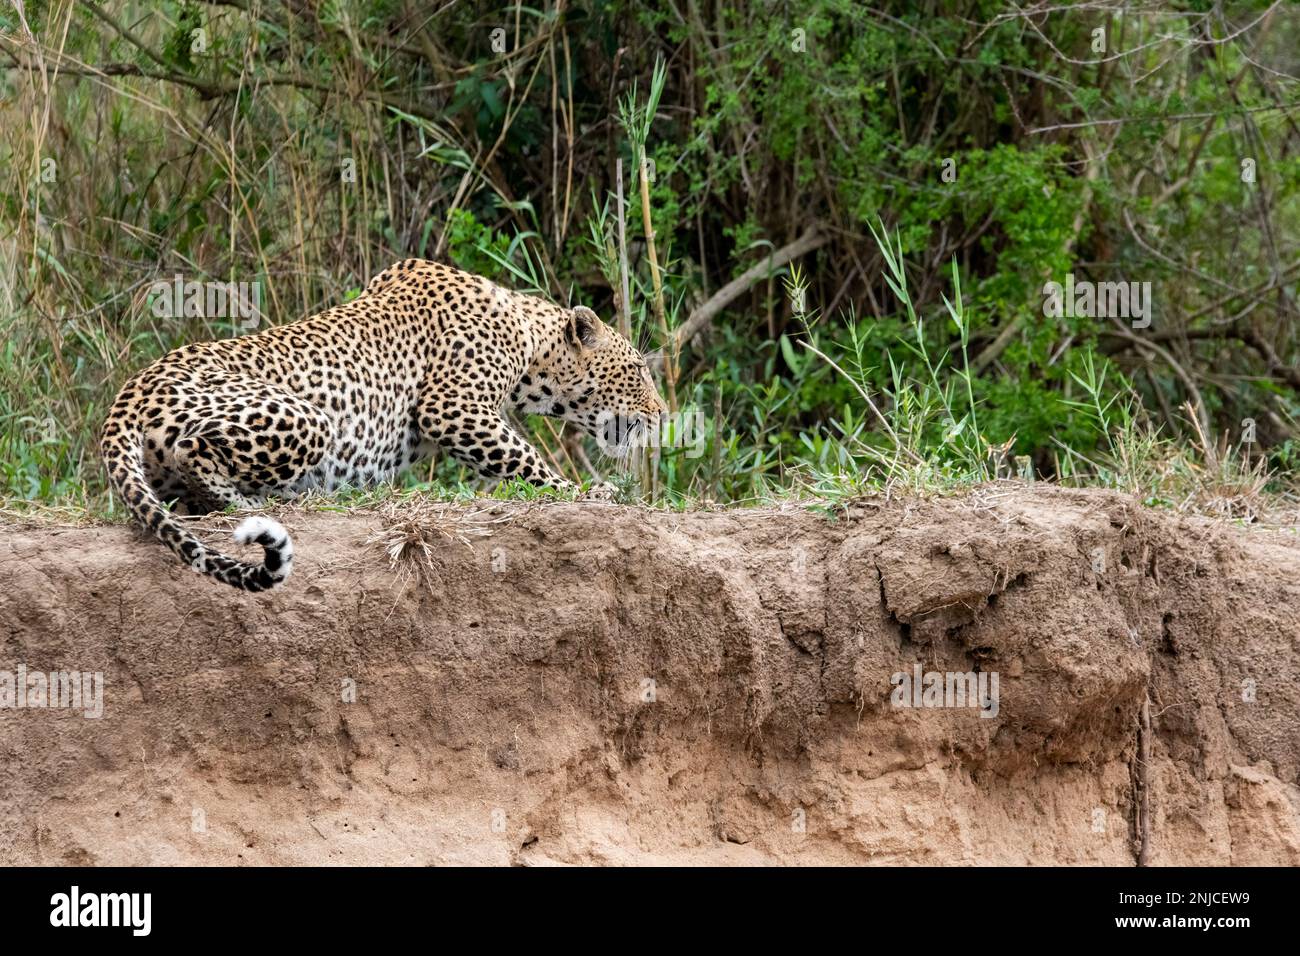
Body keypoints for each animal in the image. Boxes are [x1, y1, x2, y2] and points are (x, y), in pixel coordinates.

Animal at [100, 258, 668, 592]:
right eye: (639, 370)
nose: (664, 415)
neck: (530, 341)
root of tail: (129, 393)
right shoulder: (451, 406)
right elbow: (527, 458)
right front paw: (587, 493)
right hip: (308, 419)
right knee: (195, 453)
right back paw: (256, 502)